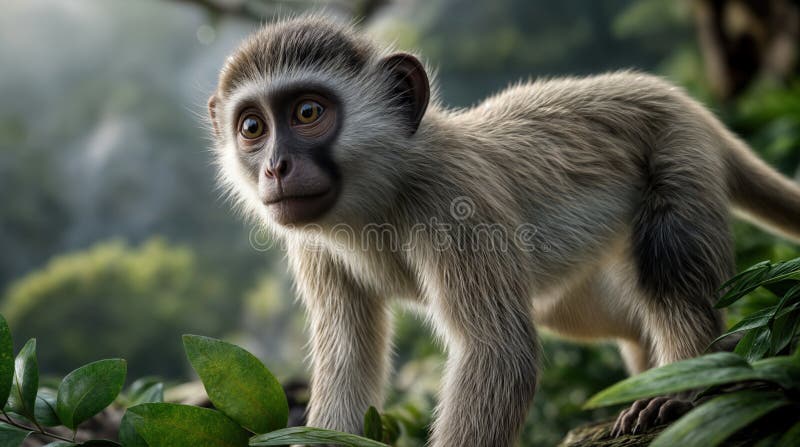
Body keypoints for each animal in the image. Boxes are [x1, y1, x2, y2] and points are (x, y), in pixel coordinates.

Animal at [207, 16, 800, 446]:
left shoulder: (454, 204)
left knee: (668, 272)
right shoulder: (311, 243)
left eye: (307, 112)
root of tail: (681, 102)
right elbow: (349, 365)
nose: (275, 168)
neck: (385, 187)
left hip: (679, 154)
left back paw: (690, 384)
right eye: (253, 127)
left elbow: (499, 353)